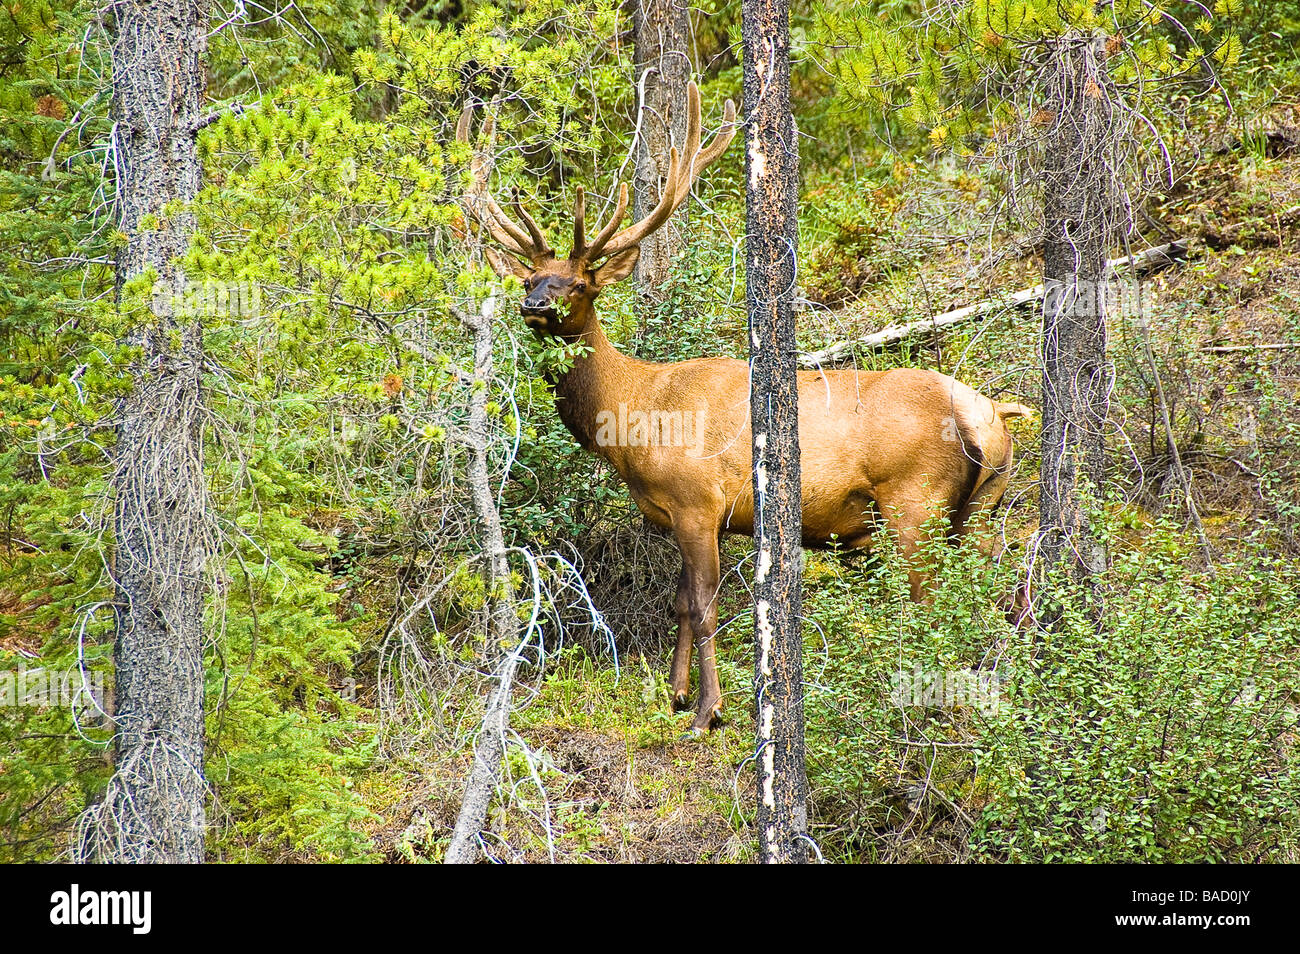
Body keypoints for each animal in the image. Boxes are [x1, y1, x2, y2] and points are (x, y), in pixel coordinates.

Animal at [456, 83, 1033, 734]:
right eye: (531, 276)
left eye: (580, 284)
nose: (535, 304)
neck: (633, 420)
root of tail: (990, 416)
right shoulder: (678, 514)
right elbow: (681, 604)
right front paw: (676, 694)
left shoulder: (698, 502)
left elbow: (705, 607)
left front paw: (709, 709)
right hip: (980, 505)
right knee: (1003, 582)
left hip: (917, 501)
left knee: (933, 596)